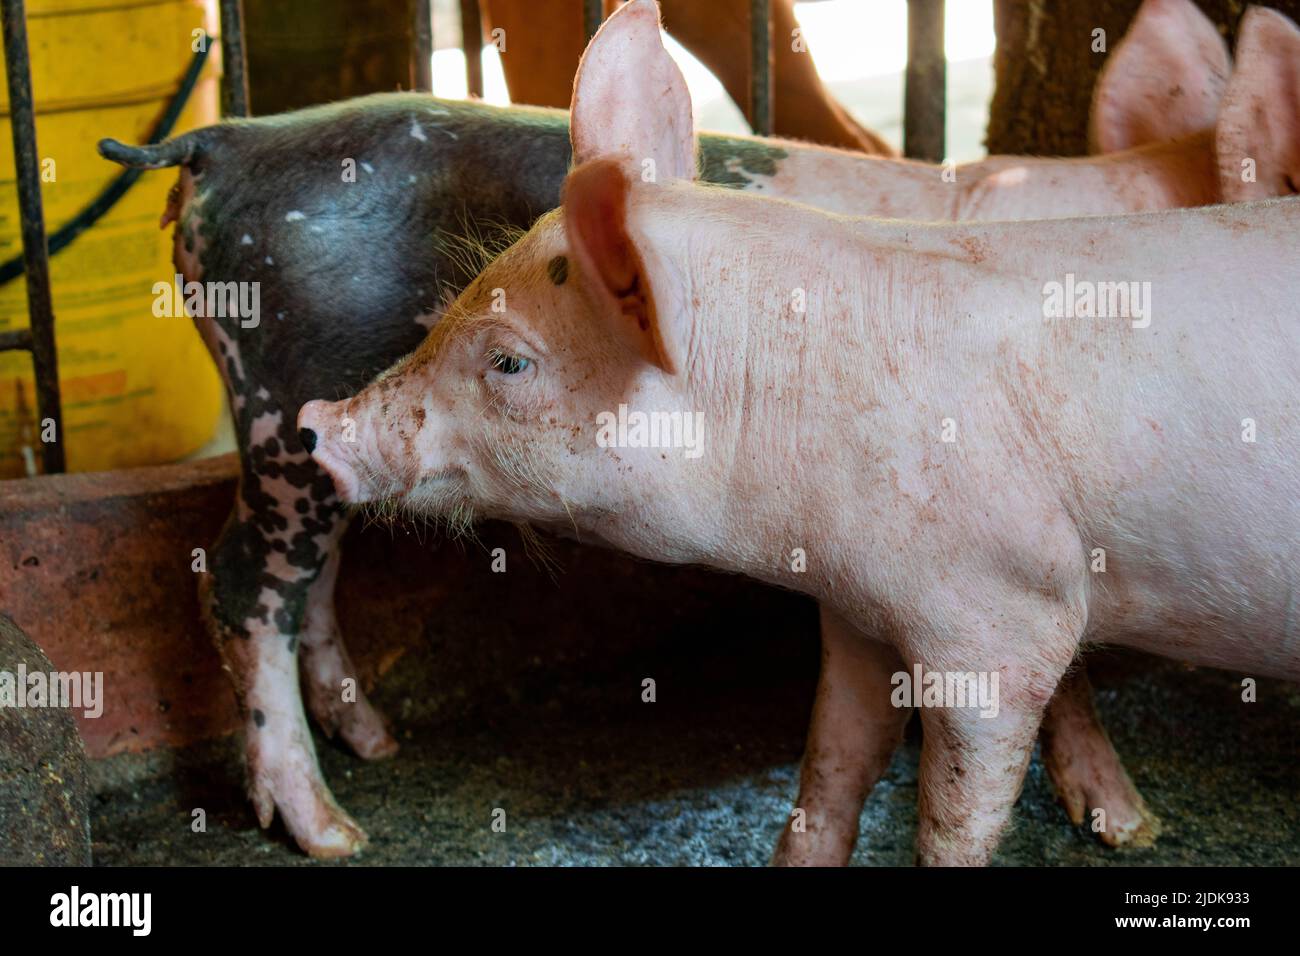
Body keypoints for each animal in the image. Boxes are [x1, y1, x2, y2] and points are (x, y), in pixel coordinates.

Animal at [98, 0, 1293, 858]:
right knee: (239, 585)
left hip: (298, 436)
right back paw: (334, 832)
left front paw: (1126, 823)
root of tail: (222, 139)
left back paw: (377, 743)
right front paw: (1129, 819)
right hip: (275, 392)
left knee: (314, 582)